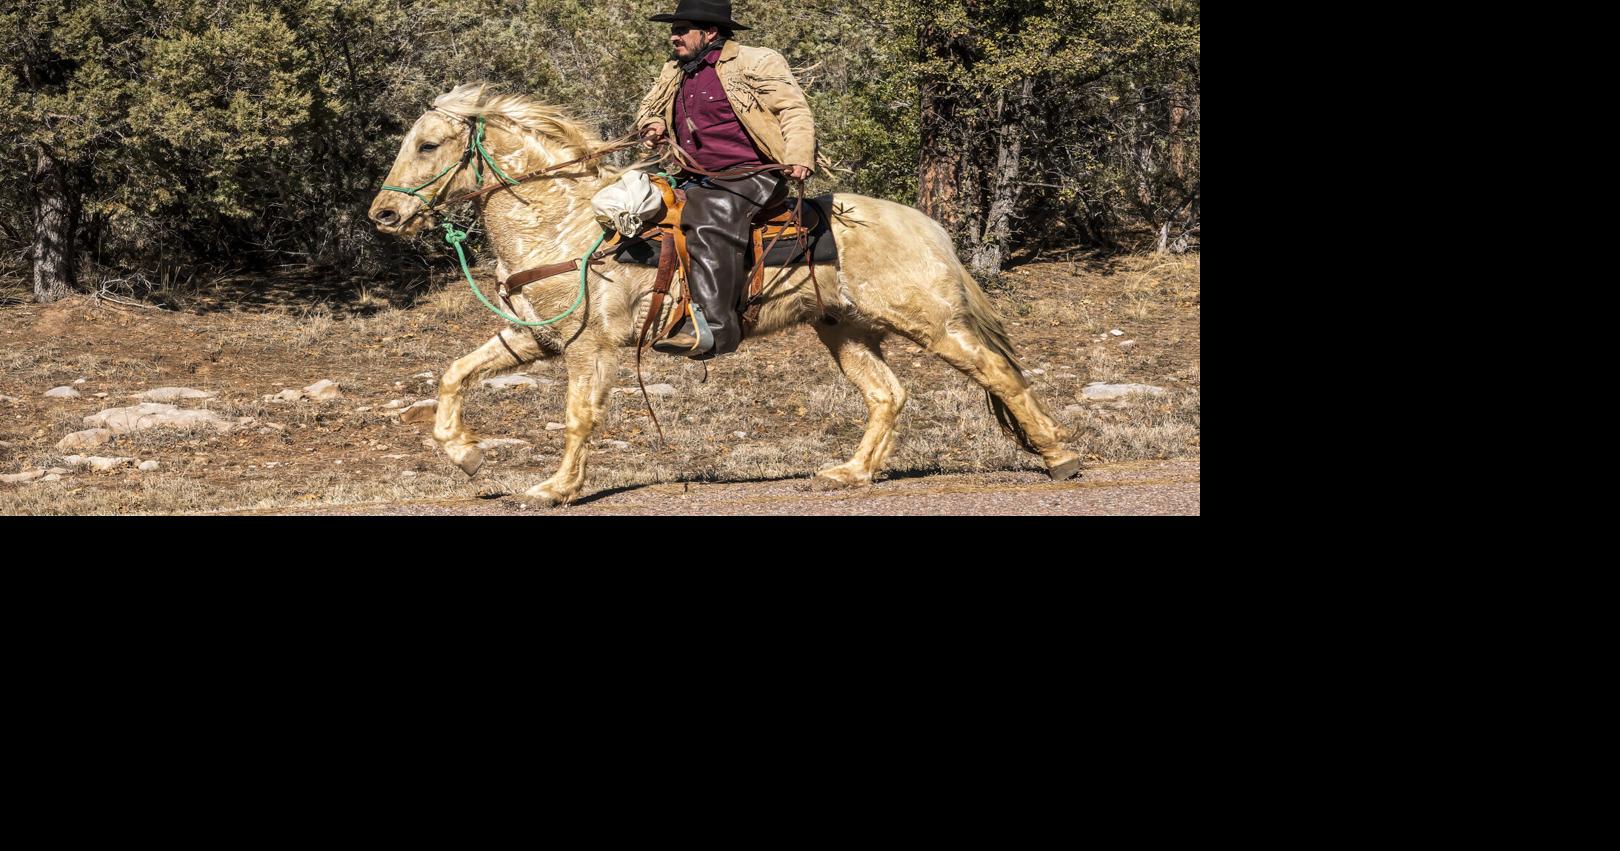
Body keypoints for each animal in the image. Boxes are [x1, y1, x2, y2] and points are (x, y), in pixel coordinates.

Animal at [368, 84, 1080, 507]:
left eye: (428, 145)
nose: (383, 215)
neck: (567, 224)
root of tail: (928, 225)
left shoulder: (590, 349)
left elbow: (579, 417)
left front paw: (556, 487)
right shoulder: (532, 338)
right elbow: (454, 375)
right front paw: (464, 455)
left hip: (933, 324)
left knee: (999, 375)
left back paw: (1061, 457)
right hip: (845, 329)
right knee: (888, 395)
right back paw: (850, 474)